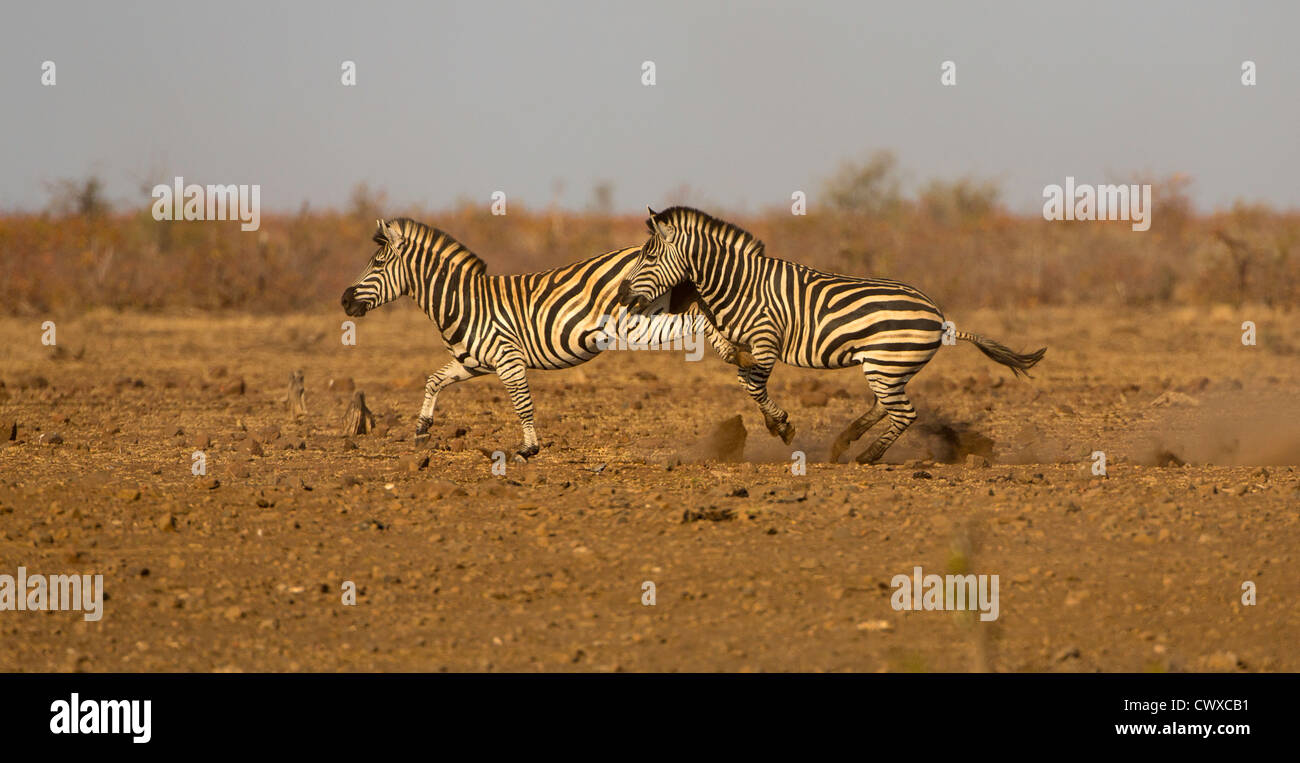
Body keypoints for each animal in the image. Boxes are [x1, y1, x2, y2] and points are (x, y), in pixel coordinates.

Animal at [340, 218, 752, 459]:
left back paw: (734, 352)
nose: (344, 300)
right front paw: (422, 429)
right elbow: (433, 380)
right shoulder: (472, 363)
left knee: (697, 318)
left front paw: (528, 448)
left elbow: (523, 405)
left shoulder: (507, 359)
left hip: (637, 322)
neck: (463, 301)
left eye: (378, 264)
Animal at [617, 206, 1046, 464]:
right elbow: (739, 371)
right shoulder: (743, 342)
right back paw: (845, 441)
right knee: (885, 406)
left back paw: (867, 456)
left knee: (903, 412)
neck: (738, 284)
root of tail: (940, 318)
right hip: (889, 366)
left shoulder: (767, 341)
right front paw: (775, 422)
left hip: (886, 364)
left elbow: (752, 384)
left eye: (650, 257)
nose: (621, 296)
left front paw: (782, 426)